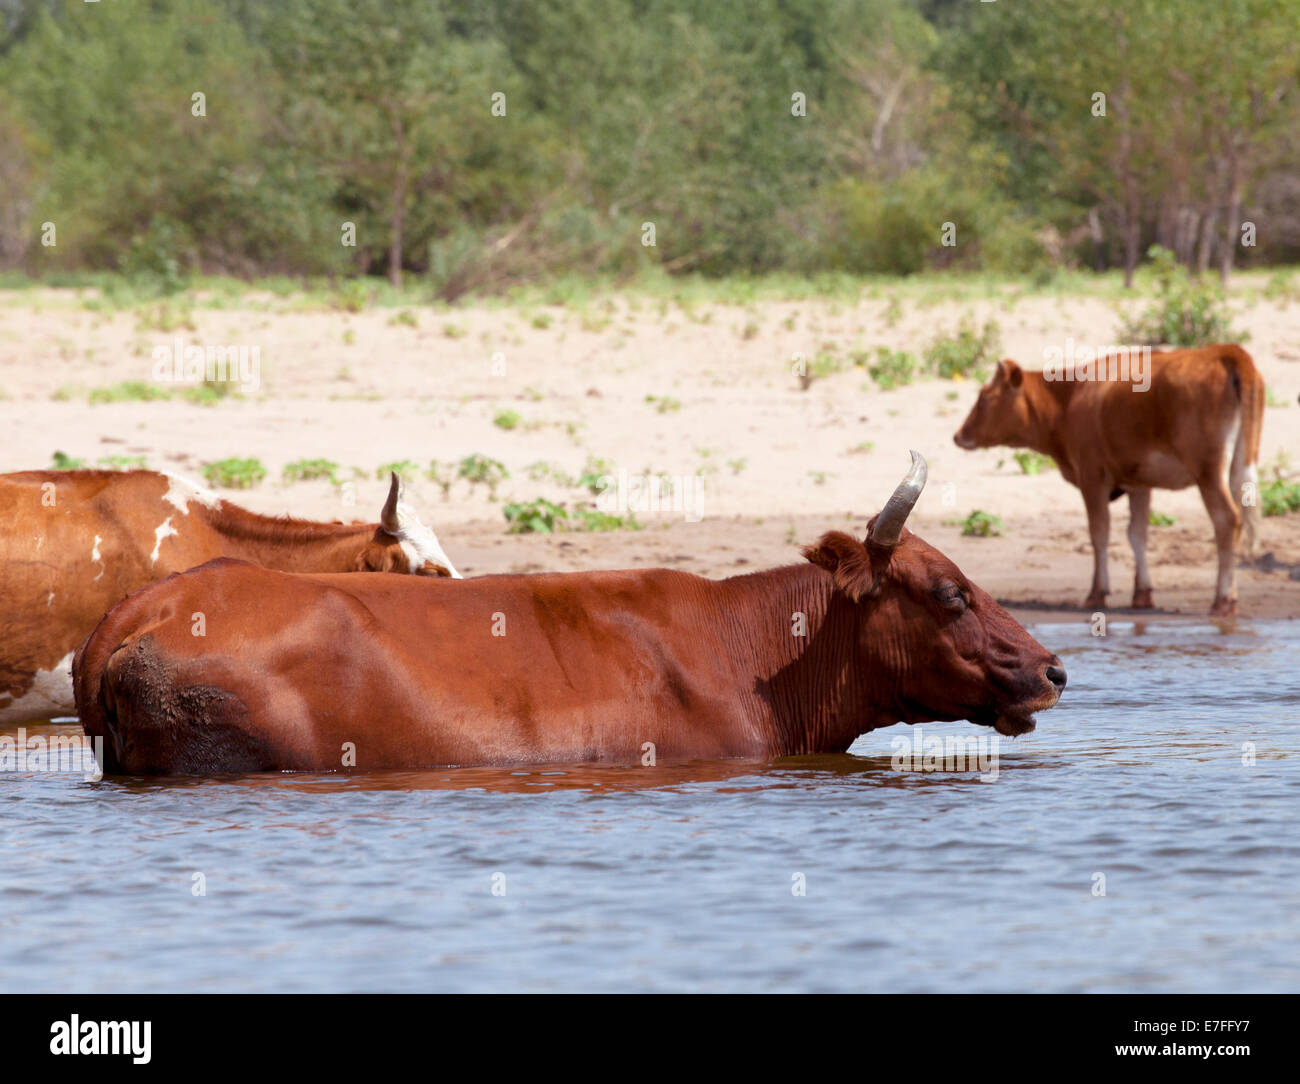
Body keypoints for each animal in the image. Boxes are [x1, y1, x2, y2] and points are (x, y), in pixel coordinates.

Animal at [952, 344, 1264, 616]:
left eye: (984, 398)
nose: (958, 435)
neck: (1069, 398)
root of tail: (1222, 351)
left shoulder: (1092, 477)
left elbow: (1099, 533)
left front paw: (1096, 592)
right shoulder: (1140, 483)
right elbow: (1137, 534)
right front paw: (1142, 593)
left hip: (1208, 472)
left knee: (1227, 520)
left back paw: (1224, 599)